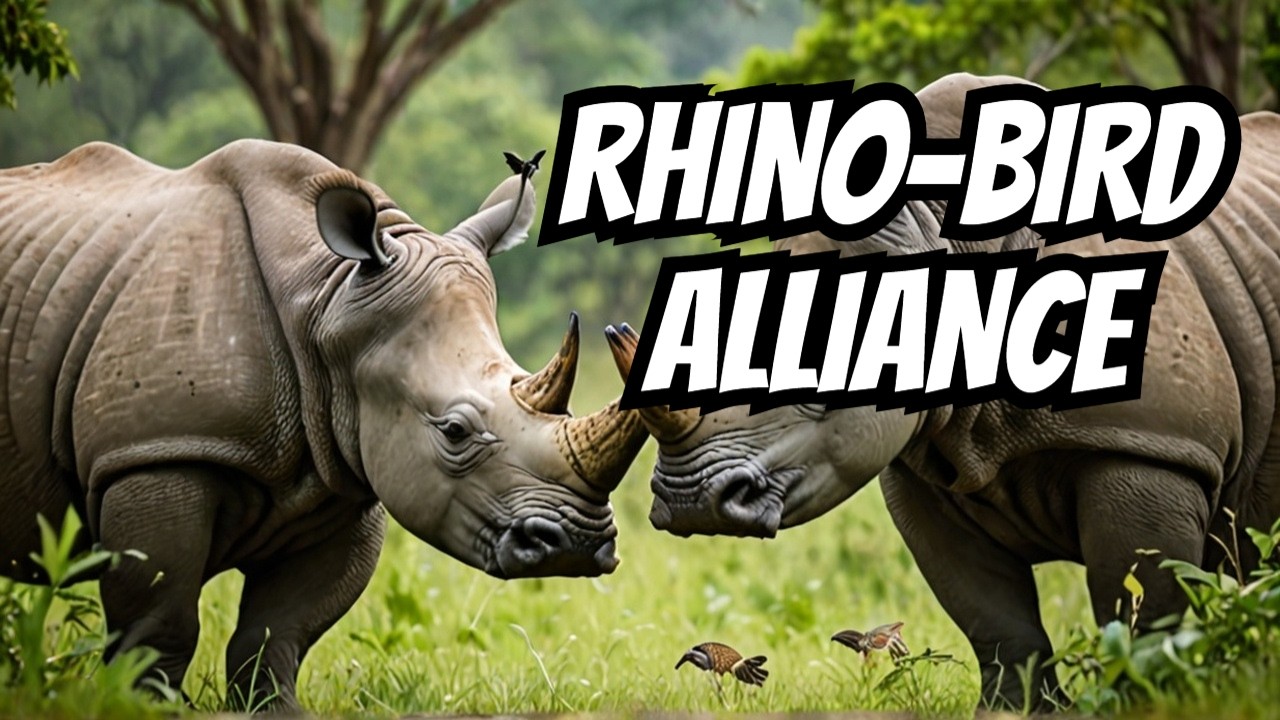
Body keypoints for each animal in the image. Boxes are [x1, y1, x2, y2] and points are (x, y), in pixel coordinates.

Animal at [0, 139, 647, 710]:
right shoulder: (155, 453)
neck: (327, 299)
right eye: (454, 432)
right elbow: (157, 629)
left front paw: (276, 711)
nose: (576, 545)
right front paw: (140, 709)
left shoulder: (344, 473)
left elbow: (276, 635)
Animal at [607, 73, 1280, 711]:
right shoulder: (922, 465)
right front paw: (1018, 712)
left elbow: (1143, 607)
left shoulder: (1153, 448)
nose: (691, 502)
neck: (947, 235)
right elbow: (992, 614)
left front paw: (1151, 699)